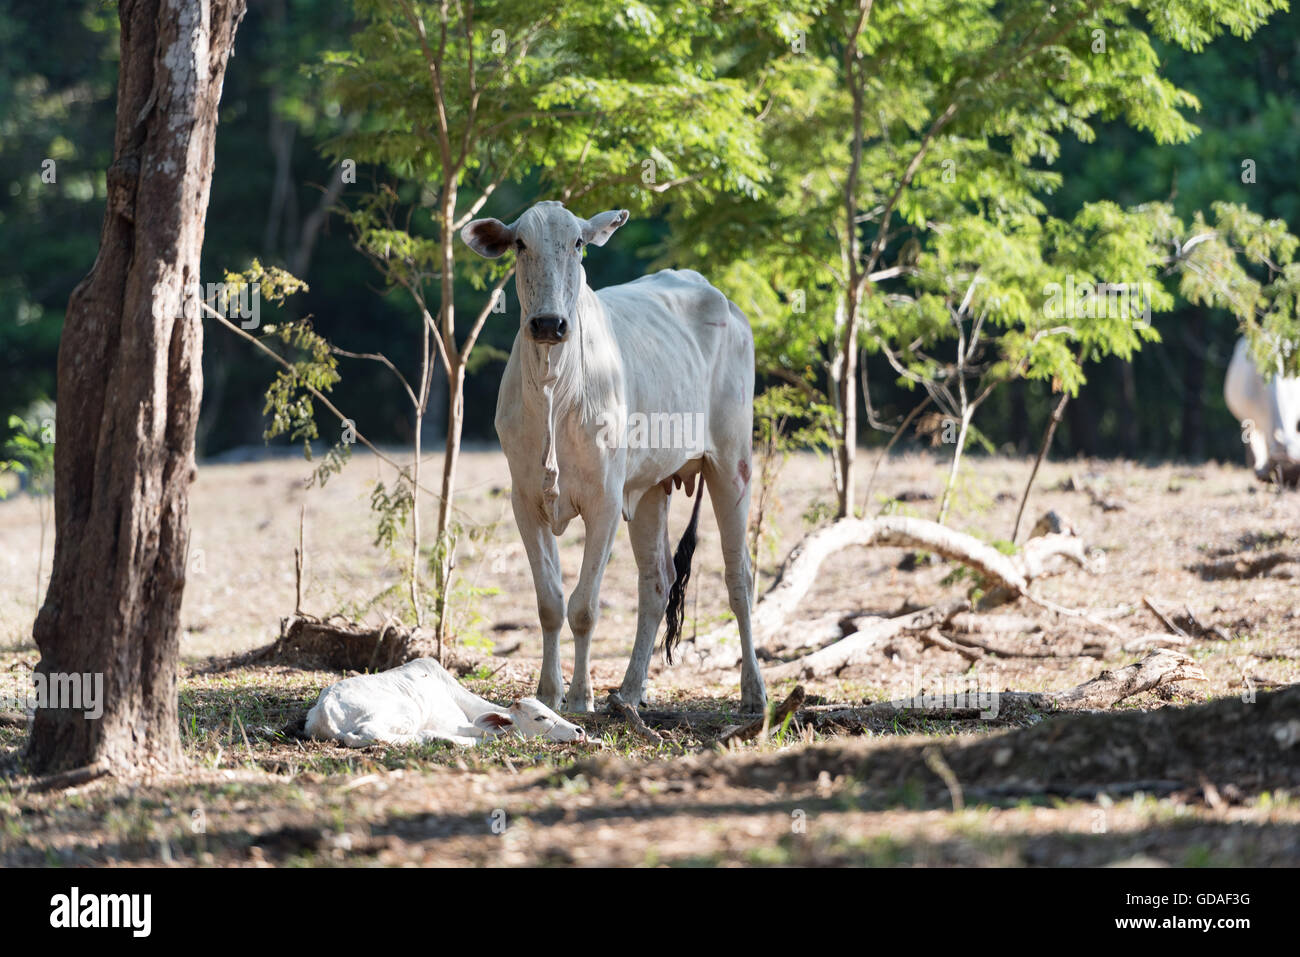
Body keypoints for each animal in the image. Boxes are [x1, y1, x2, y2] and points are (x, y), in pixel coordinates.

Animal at [461, 201, 766, 714]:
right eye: (520, 243)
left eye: (578, 244)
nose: (548, 324)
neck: (554, 386)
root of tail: (720, 298)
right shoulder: (526, 501)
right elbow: (550, 603)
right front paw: (548, 693)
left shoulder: (603, 500)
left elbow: (584, 607)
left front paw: (580, 697)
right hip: (650, 488)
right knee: (657, 581)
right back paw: (629, 690)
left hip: (731, 463)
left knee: (739, 576)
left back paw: (754, 692)